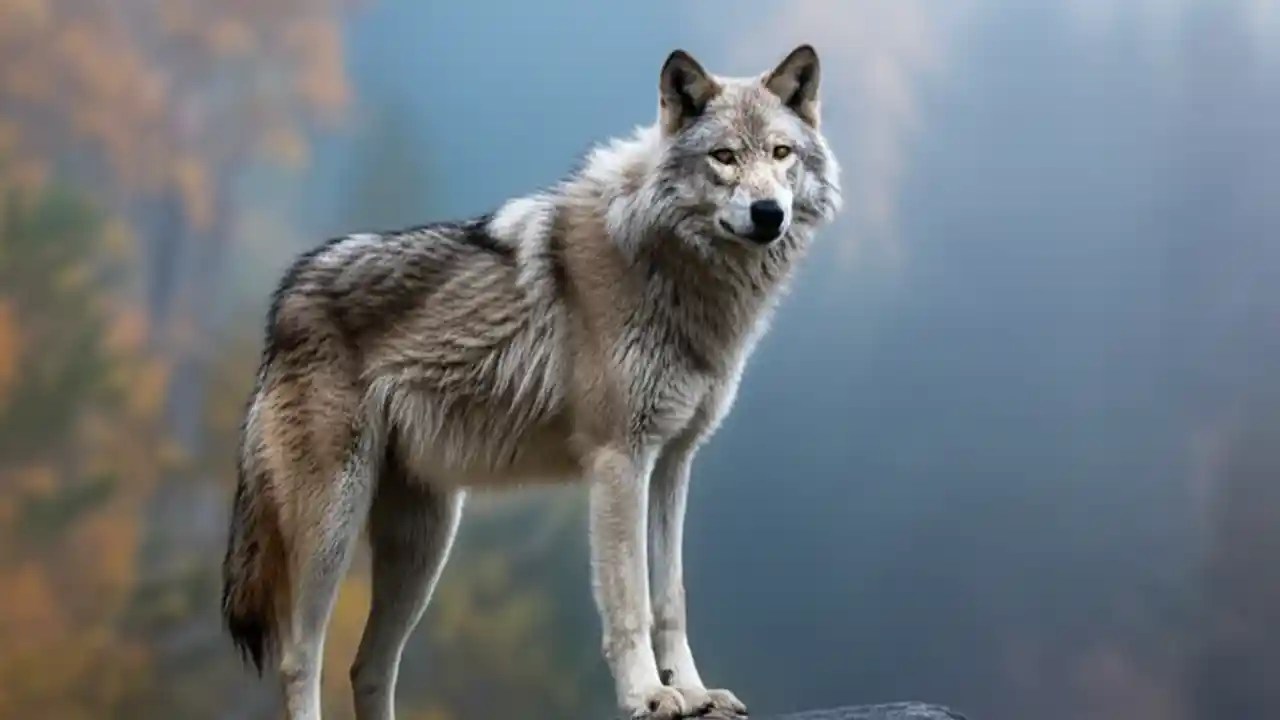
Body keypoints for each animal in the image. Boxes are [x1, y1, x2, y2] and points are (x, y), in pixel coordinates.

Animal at [221, 44, 841, 719]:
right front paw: (650, 695)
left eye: (780, 153)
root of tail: (283, 302)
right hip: (332, 528)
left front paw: (696, 692)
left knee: (368, 666)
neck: (674, 267)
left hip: (425, 543)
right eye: (724, 157)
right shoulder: (619, 459)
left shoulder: (673, 463)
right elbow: (630, 602)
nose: (768, 214)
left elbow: (670, 597)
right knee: (300, 658)